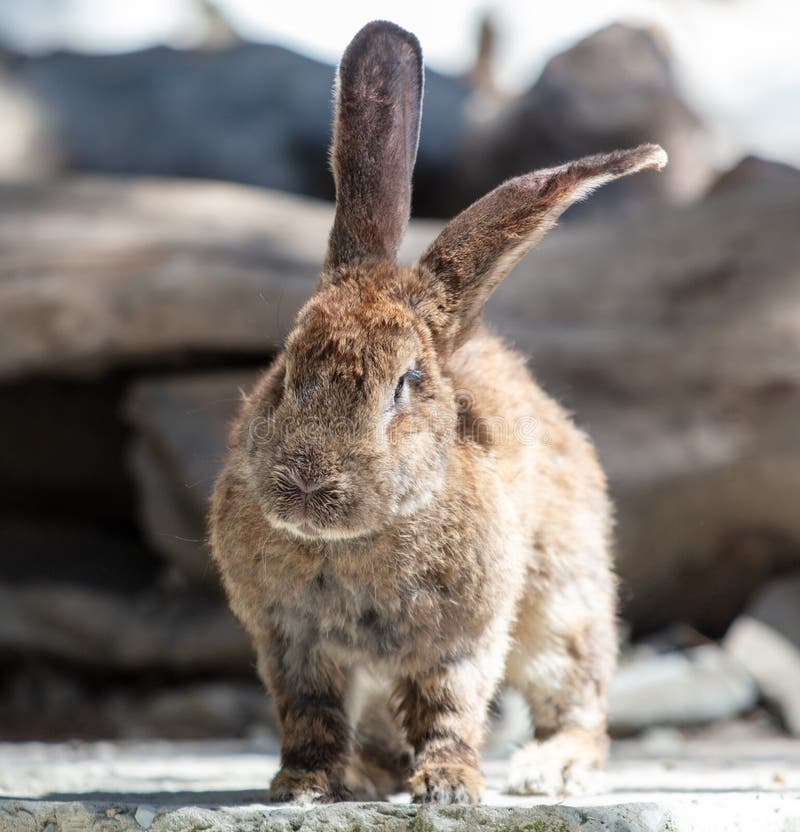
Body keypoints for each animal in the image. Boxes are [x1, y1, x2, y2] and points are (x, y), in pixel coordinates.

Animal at [209, 19, 667, 805]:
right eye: (286, 368)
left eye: (406, 384)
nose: (305, 486)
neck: (358, 540)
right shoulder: (291, 644)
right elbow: (310, 715)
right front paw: (302, 786)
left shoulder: (464, 638)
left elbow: (449, 707)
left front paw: (450, 787)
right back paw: (369, 773)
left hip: (562, 605)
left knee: (580, 704)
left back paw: (548, 769)